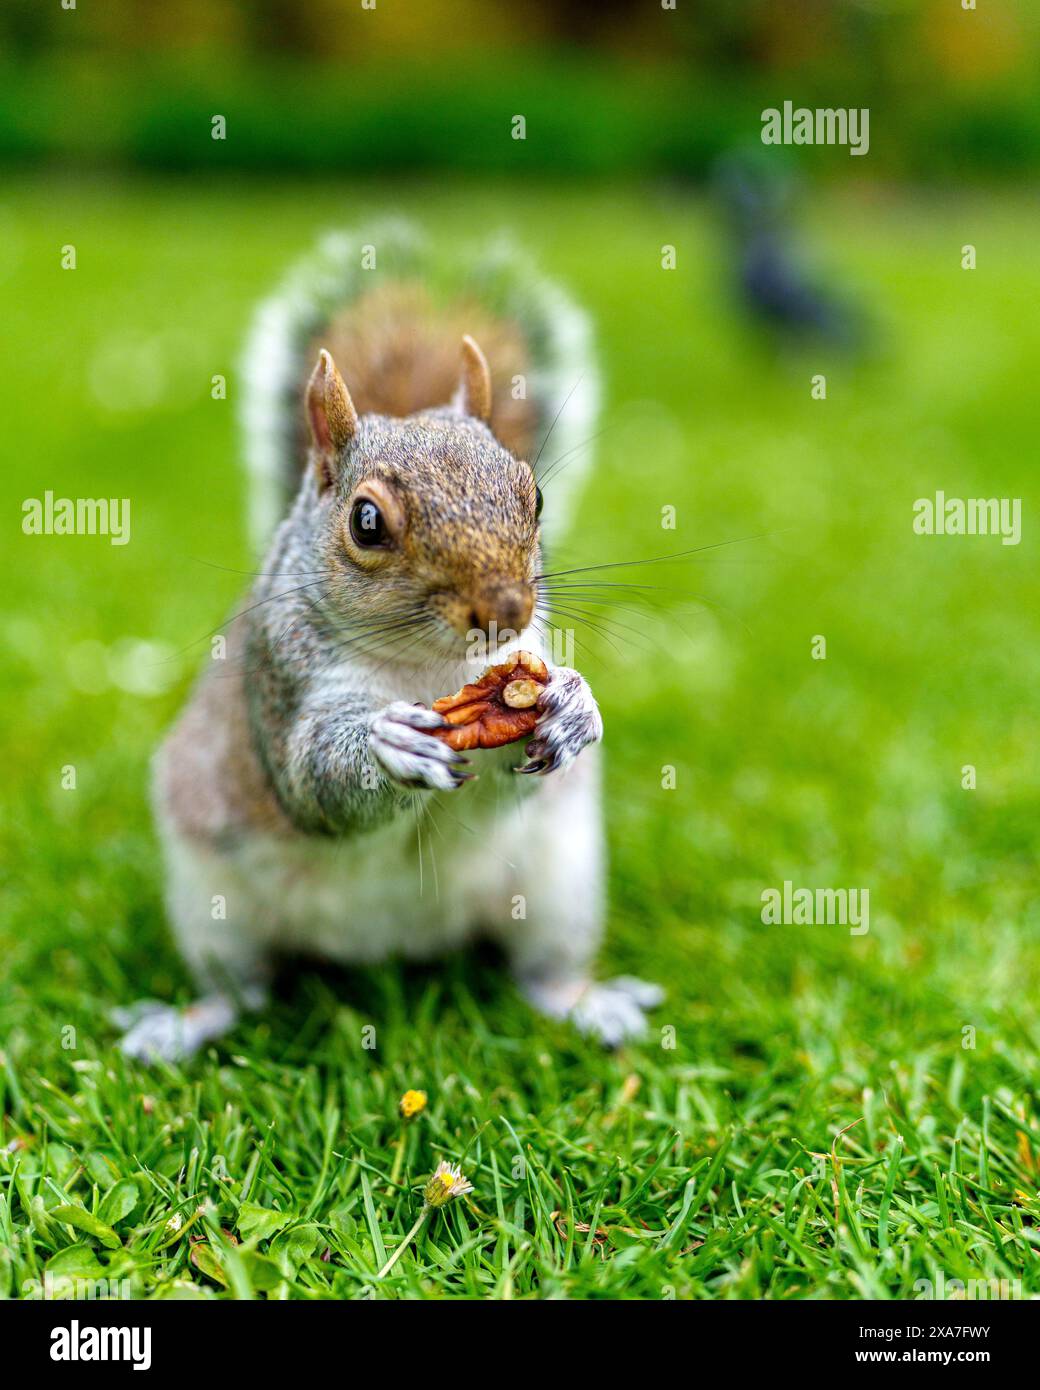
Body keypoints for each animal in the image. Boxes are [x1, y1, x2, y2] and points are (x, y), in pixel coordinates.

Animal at [113, 223, 663, 1061]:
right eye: (366, 522)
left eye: (534, 495)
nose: (506, 607)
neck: (428, 667)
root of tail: (393, 945)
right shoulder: (281, 679)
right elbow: (313, 782)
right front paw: (388, 745)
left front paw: (573, 704)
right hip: (214, 907)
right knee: (241, 991)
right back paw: (184, 1024)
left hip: (560, 888)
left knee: (539, 973)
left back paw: (585, 1002)